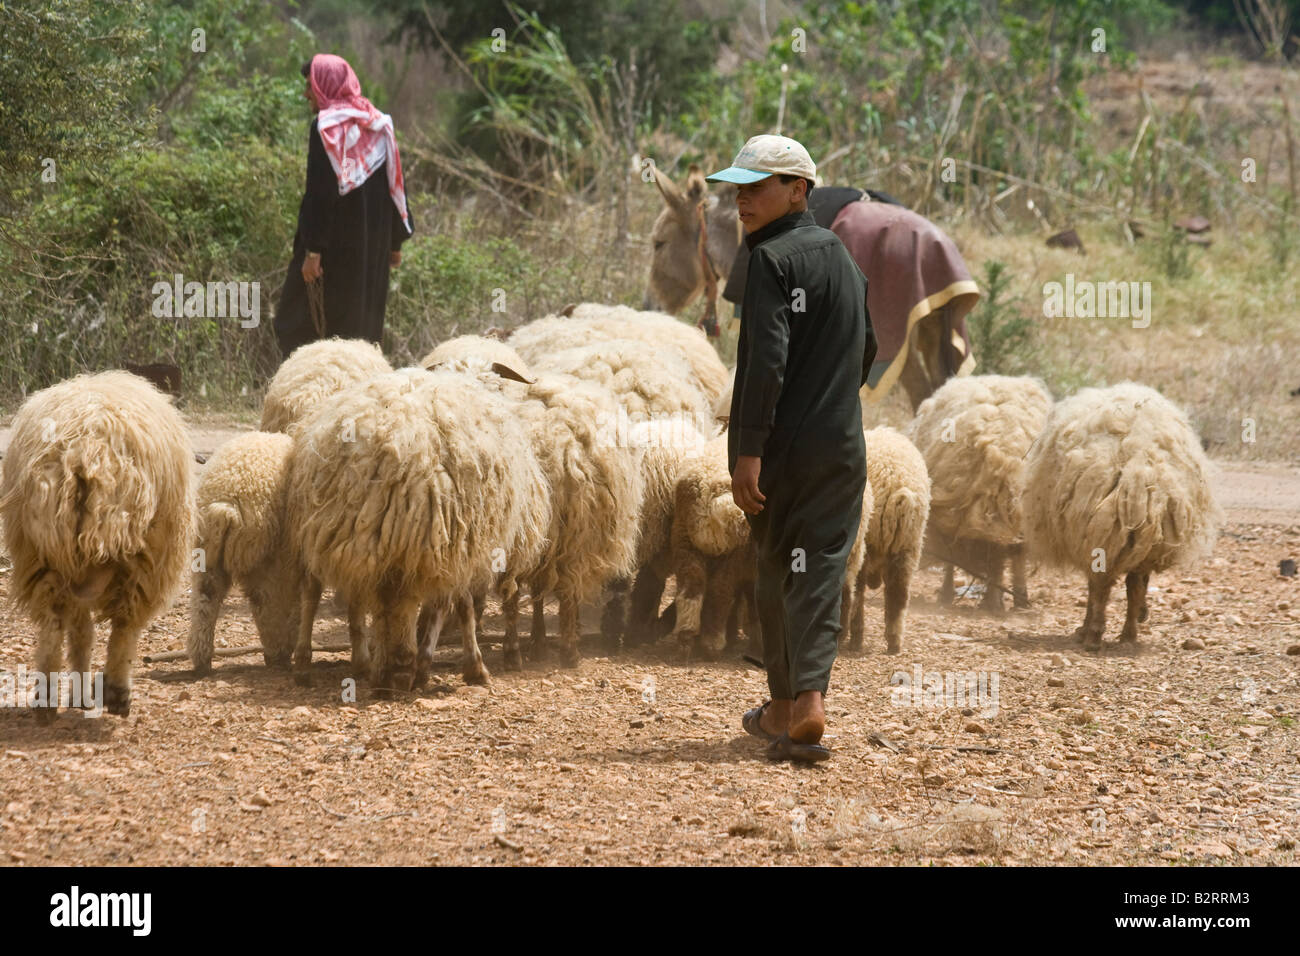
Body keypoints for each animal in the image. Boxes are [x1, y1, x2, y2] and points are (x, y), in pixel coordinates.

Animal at [0, 371, 195, 720]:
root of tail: (87, 446)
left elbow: (81, 632)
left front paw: (78, 693)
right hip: (146, 553)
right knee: (126, 623)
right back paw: (117, 691)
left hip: (42, 552)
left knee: (53, 622)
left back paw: (46, 698)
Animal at [284, 367, 551, 693]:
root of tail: (392, 439)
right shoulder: (462, 541)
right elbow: (460, 606)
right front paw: (470, 668)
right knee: (389, 600)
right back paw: (397, 668)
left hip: (333, 527)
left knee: (328, 593)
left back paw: (351, 665)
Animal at [844, 427, 931, 654]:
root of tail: (899, 490)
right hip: (909, 545)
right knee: (898, 595)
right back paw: (894, 642)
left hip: (868, 540)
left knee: (857, 592)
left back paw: (855, 639)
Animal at [1022, 382, 1221, 649]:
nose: (1146, 615)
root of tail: (1138, 474)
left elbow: (1094, 587)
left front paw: (1085, 630)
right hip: (1142, 540)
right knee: (1134, 585)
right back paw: (1129, 635)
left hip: (1102, 534)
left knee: (1101, 586)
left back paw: (1093, 635)